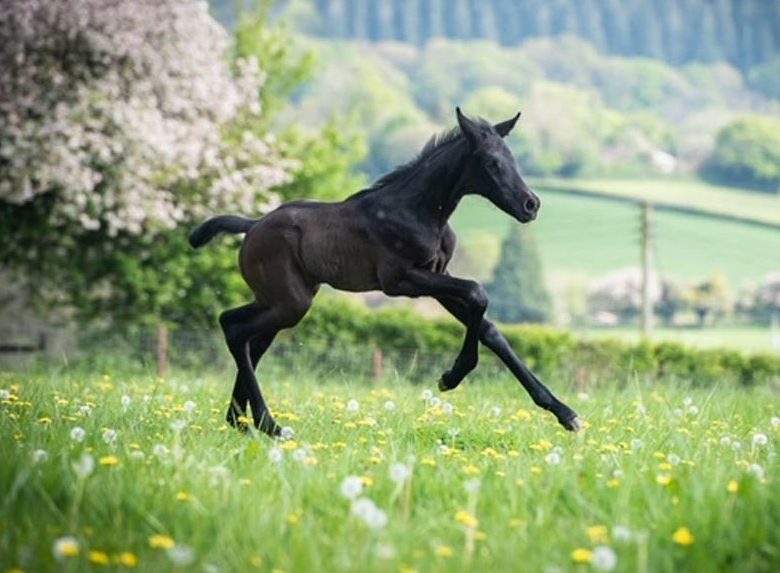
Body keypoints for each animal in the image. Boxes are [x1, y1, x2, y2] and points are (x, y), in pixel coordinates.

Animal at [189, 108, 581, 437]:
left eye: (512, 159)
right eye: (491, 163)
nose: (531, 204)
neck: (420, 210)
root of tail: (252, 226)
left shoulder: (437, 278)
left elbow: (489, 329)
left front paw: (565, 413)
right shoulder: (400, 280)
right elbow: (476, 291)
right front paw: (451, 377)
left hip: (279, 300)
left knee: (237, 328)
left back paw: (239, 420)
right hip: (291, 303)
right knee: (237, 331)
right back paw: (269, 424)